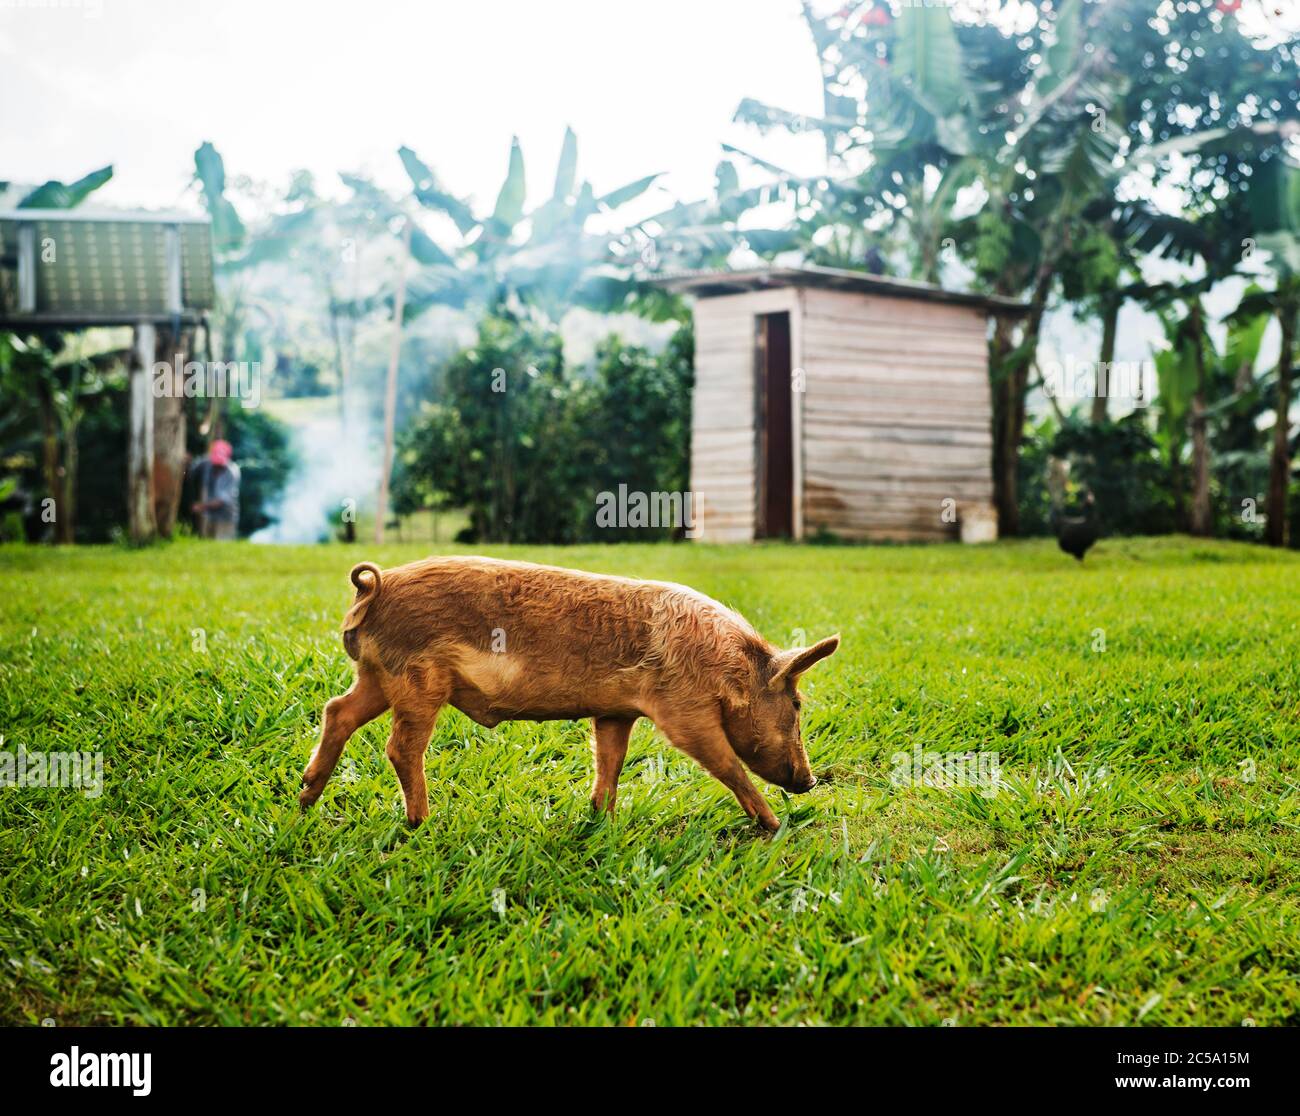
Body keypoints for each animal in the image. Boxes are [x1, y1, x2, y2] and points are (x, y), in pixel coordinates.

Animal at [299, 557, 839, 832]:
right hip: (418, 681)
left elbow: (611, 760)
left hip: (377, 676)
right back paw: (422, 823)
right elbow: (726, 764)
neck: (727, 669)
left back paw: (306, 798)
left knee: (338, 711)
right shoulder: (682, 711)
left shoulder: (615, 713)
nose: (811, 781)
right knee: (401, 747)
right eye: (796, 704)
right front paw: (773, 825)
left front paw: (601, 818)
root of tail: (374, 588)